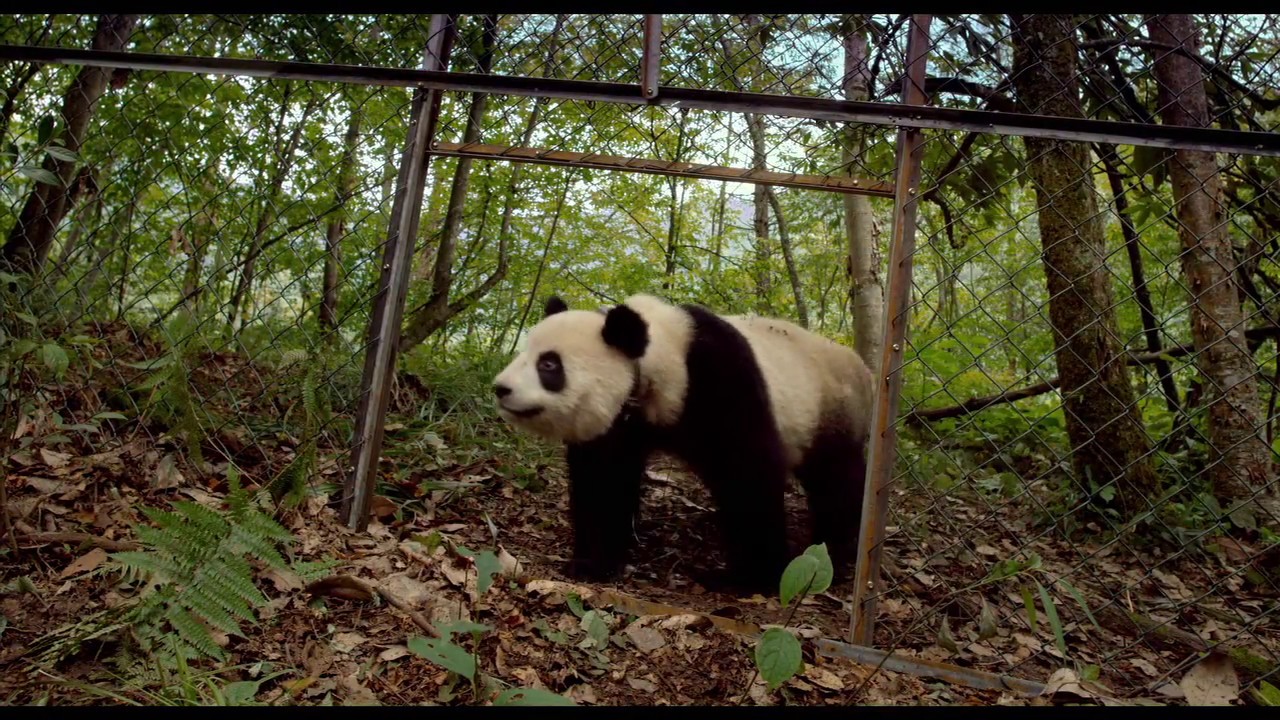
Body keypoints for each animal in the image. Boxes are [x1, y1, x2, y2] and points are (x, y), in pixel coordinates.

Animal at [492, 293, 875, 592]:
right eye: (523, 353)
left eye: (549, 364)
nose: (501, 388)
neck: (656, 360)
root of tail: (862, 366)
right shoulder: (622, 422)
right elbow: (604, 482)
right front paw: (592, 562)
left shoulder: (721, 378)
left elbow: (748, 474)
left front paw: (749, 577)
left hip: (830, 410)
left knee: (836, 481)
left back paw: (834, 547)